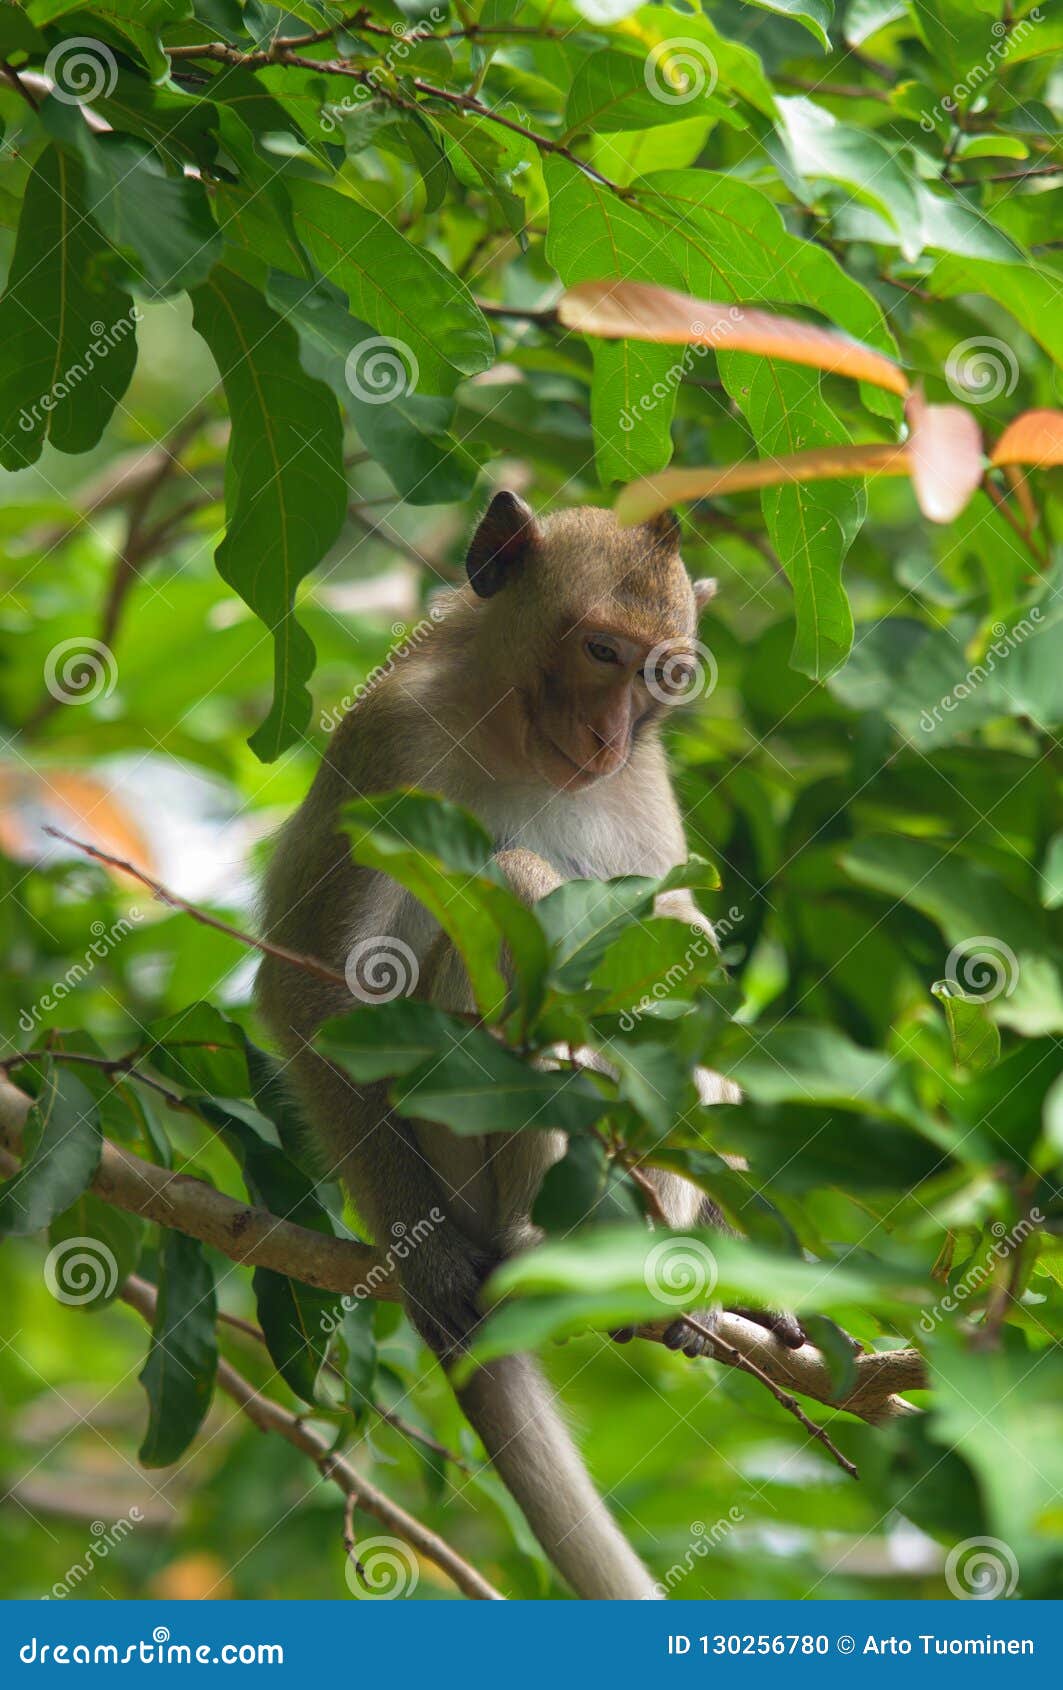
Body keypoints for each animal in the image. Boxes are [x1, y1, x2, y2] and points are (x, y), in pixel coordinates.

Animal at [256, 493, 805, 1600]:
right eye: (599, 650)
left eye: (663, 674)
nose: (604, 735)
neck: (508, 726)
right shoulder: (389, 740)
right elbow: (308, 992)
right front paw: (423, 1269)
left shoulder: (641, 786)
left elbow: (680, 961)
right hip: (453, 1161)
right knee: (514, 878)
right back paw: (529, 1243)